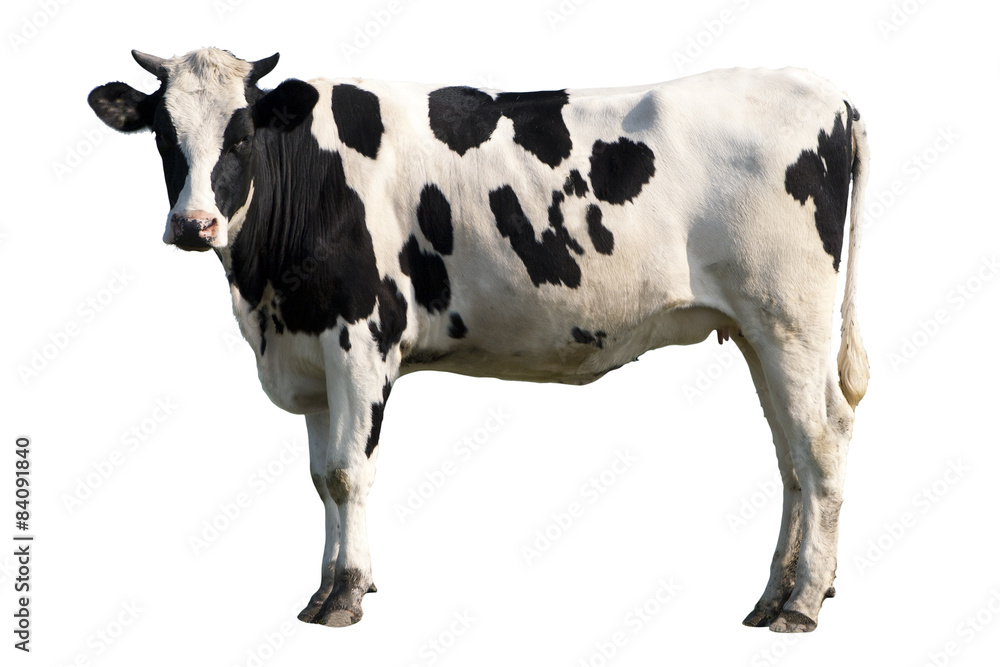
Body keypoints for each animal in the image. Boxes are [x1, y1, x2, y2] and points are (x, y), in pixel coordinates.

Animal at [88, 47, 869, 633]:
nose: (193, 224)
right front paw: (325, 588)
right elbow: (320, 478)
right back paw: (774, 595)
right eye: (163, 135)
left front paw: (347, 594)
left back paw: (803, 602)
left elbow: (347, 471)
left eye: (243, 135)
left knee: (823, 444)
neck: (265, 294)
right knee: (790, 456)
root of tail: (828, 92)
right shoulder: (310, 354)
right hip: (757, 332)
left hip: (791, 320)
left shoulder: (361, 341)